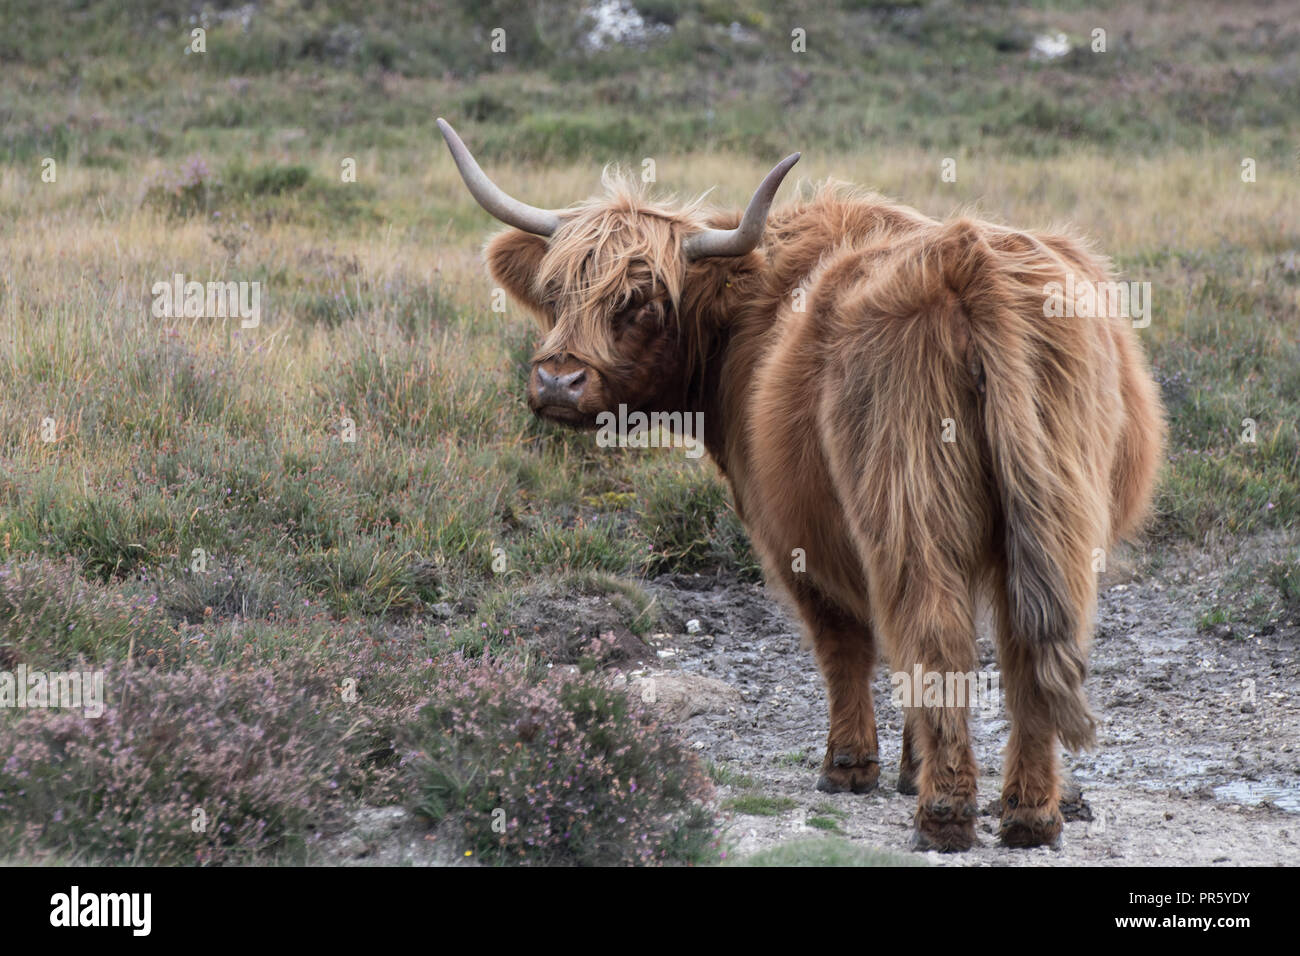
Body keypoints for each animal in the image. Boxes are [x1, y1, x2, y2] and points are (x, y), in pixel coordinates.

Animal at [437, 118, 1166, 851]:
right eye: (555, 292)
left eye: (642, 301)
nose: (557, 381)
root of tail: (969, 257)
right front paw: (905, 768)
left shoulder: (793, 534)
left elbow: (844, 641)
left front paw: (850, 766)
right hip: (1060, 516)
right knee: (1028, 648)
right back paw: (1030, 814)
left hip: (911, 504)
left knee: (933, 633)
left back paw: (945, 815)